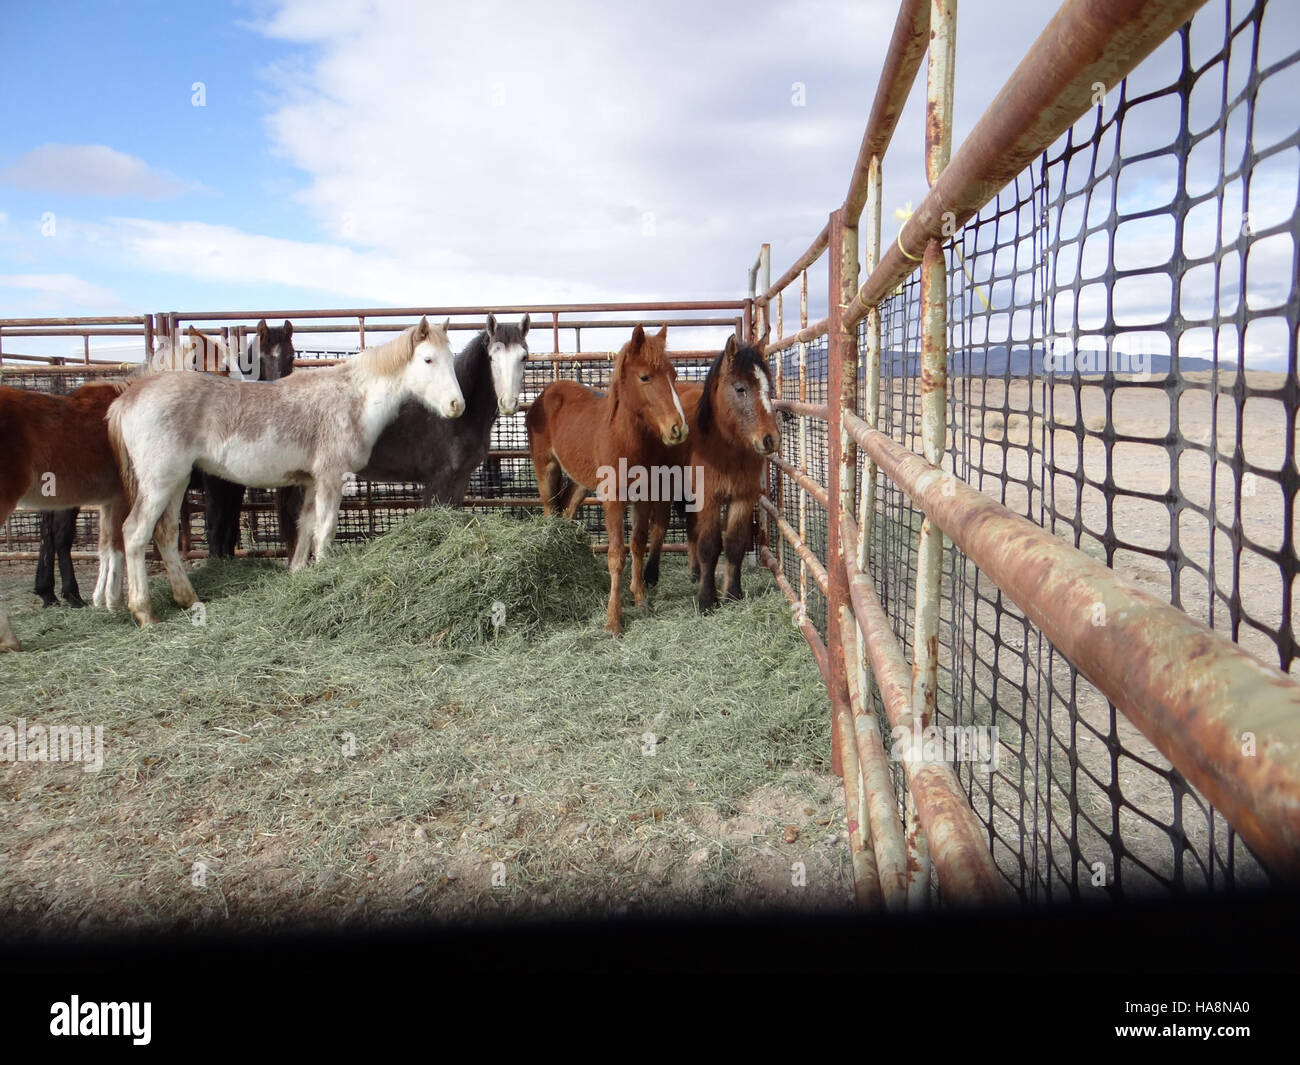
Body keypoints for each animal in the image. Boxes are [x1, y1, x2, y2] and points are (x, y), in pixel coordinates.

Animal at [0, 380, 138, 651]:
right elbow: (120, 544)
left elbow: (107, 546)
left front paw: (101, 597)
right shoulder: (123, 496)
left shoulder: (109, 501)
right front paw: (114, 599)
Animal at [108, 317, 464, 628]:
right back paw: (145, 613)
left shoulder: (312, 482)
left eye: (451, 358)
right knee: (135, 533)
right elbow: (325, 529)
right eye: (428, 359)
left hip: (177, 482)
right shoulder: (331, 478)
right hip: (158, 483)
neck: (352, 399)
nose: (456, 405)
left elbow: (305, 527)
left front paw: (298, 575)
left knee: (166, 534)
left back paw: (187, 598)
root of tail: (128, 398)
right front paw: (324, 574)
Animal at [526, 324, 687, 635]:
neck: (625, 436)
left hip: (581, 482)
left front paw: (641, 598)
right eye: (645, 377)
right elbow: (616, 555)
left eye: (674, 375)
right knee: (550, 512)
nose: (679, 429)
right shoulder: (613, 499)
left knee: (566, 511)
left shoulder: (643, 496)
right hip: (546, 469)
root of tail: (547, 392)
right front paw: (613, 620)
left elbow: (637, 544)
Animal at [675, 335, 781, 612]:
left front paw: (732, 594)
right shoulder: (708, 498)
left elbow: (734, 544)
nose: (770, 439)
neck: (725, 449)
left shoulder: (743, 498)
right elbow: (710, 545)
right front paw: (706, 600)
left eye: (769, 389)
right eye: (740, 388)